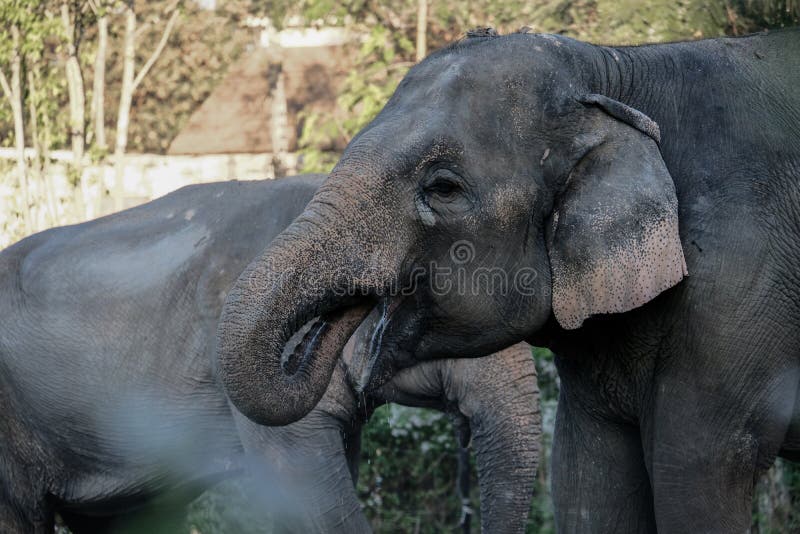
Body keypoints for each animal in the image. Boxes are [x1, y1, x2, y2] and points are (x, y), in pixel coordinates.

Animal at [215, 28, 800, 532]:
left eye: (443, 188)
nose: (339, 317)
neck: (611, 69)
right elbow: (589, 483)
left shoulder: (735, 297)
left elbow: (695, 478)